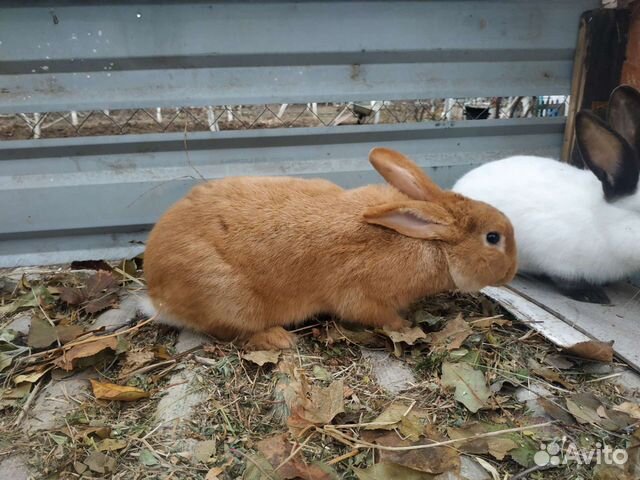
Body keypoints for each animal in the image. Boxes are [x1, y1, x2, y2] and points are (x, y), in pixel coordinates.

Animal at [143, 147, 517, 350]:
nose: (512, 272)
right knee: (228, 331)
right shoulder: (361, 295)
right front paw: (405, 325)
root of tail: (156, 292)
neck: (429, 242)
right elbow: (376, 314)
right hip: (228, 299)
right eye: (493, 238)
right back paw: (277, 339)